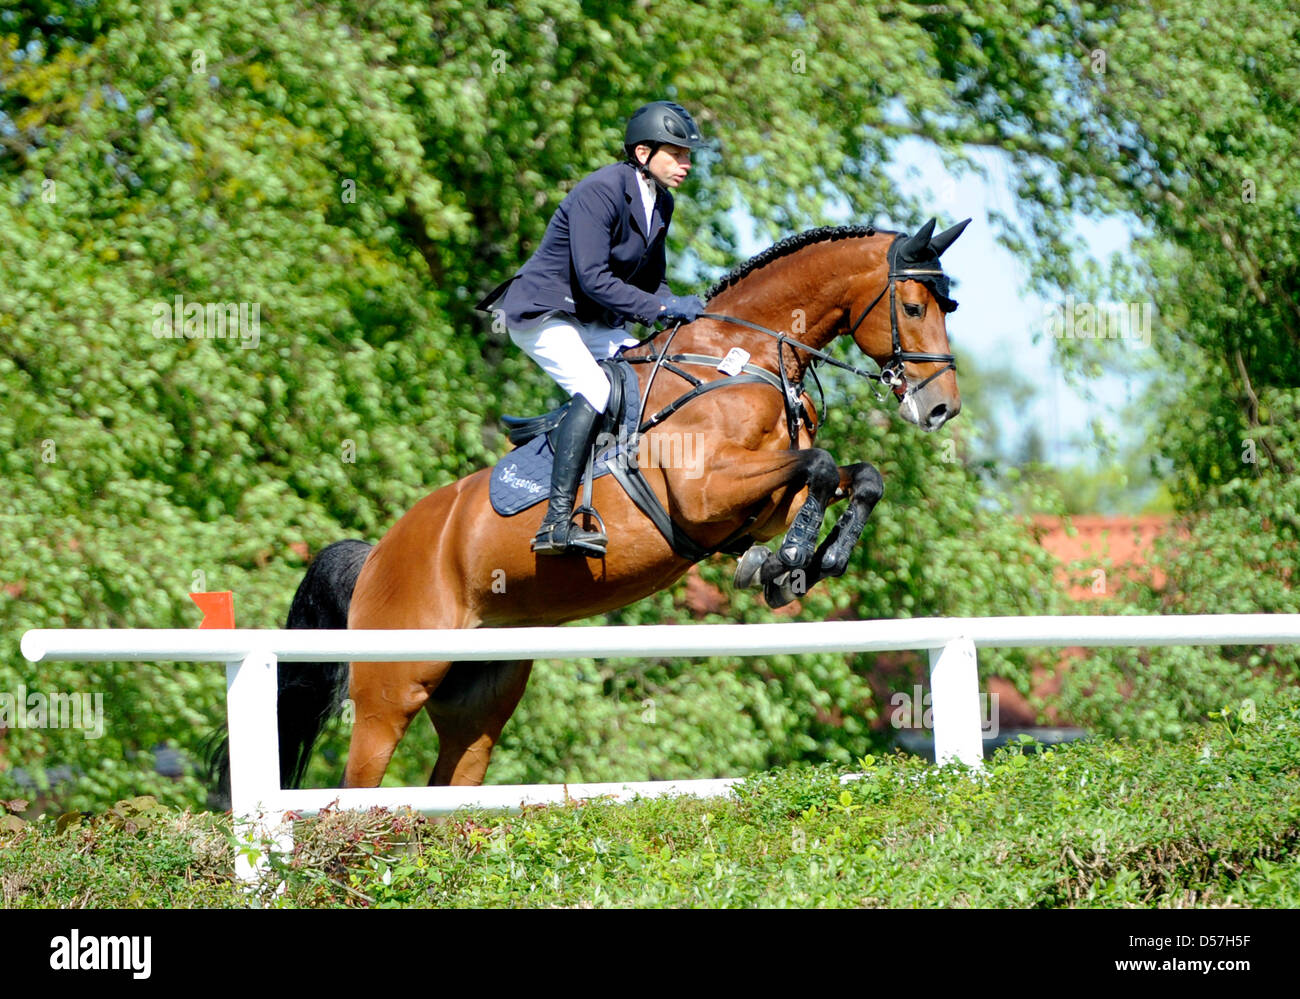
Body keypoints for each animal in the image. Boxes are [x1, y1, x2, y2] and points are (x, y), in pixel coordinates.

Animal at [216, 217, 969, 796]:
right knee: (356, 788)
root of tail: (376, 555)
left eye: (945, 306)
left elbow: (857, 475)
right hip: (391, 690)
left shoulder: (758, 500)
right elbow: (818, 467)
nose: (941, 409)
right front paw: (785, 565)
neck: (743, 356)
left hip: (480, 696)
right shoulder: (705, 494)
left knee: (445, 789)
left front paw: (811, 561)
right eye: (912, 307)